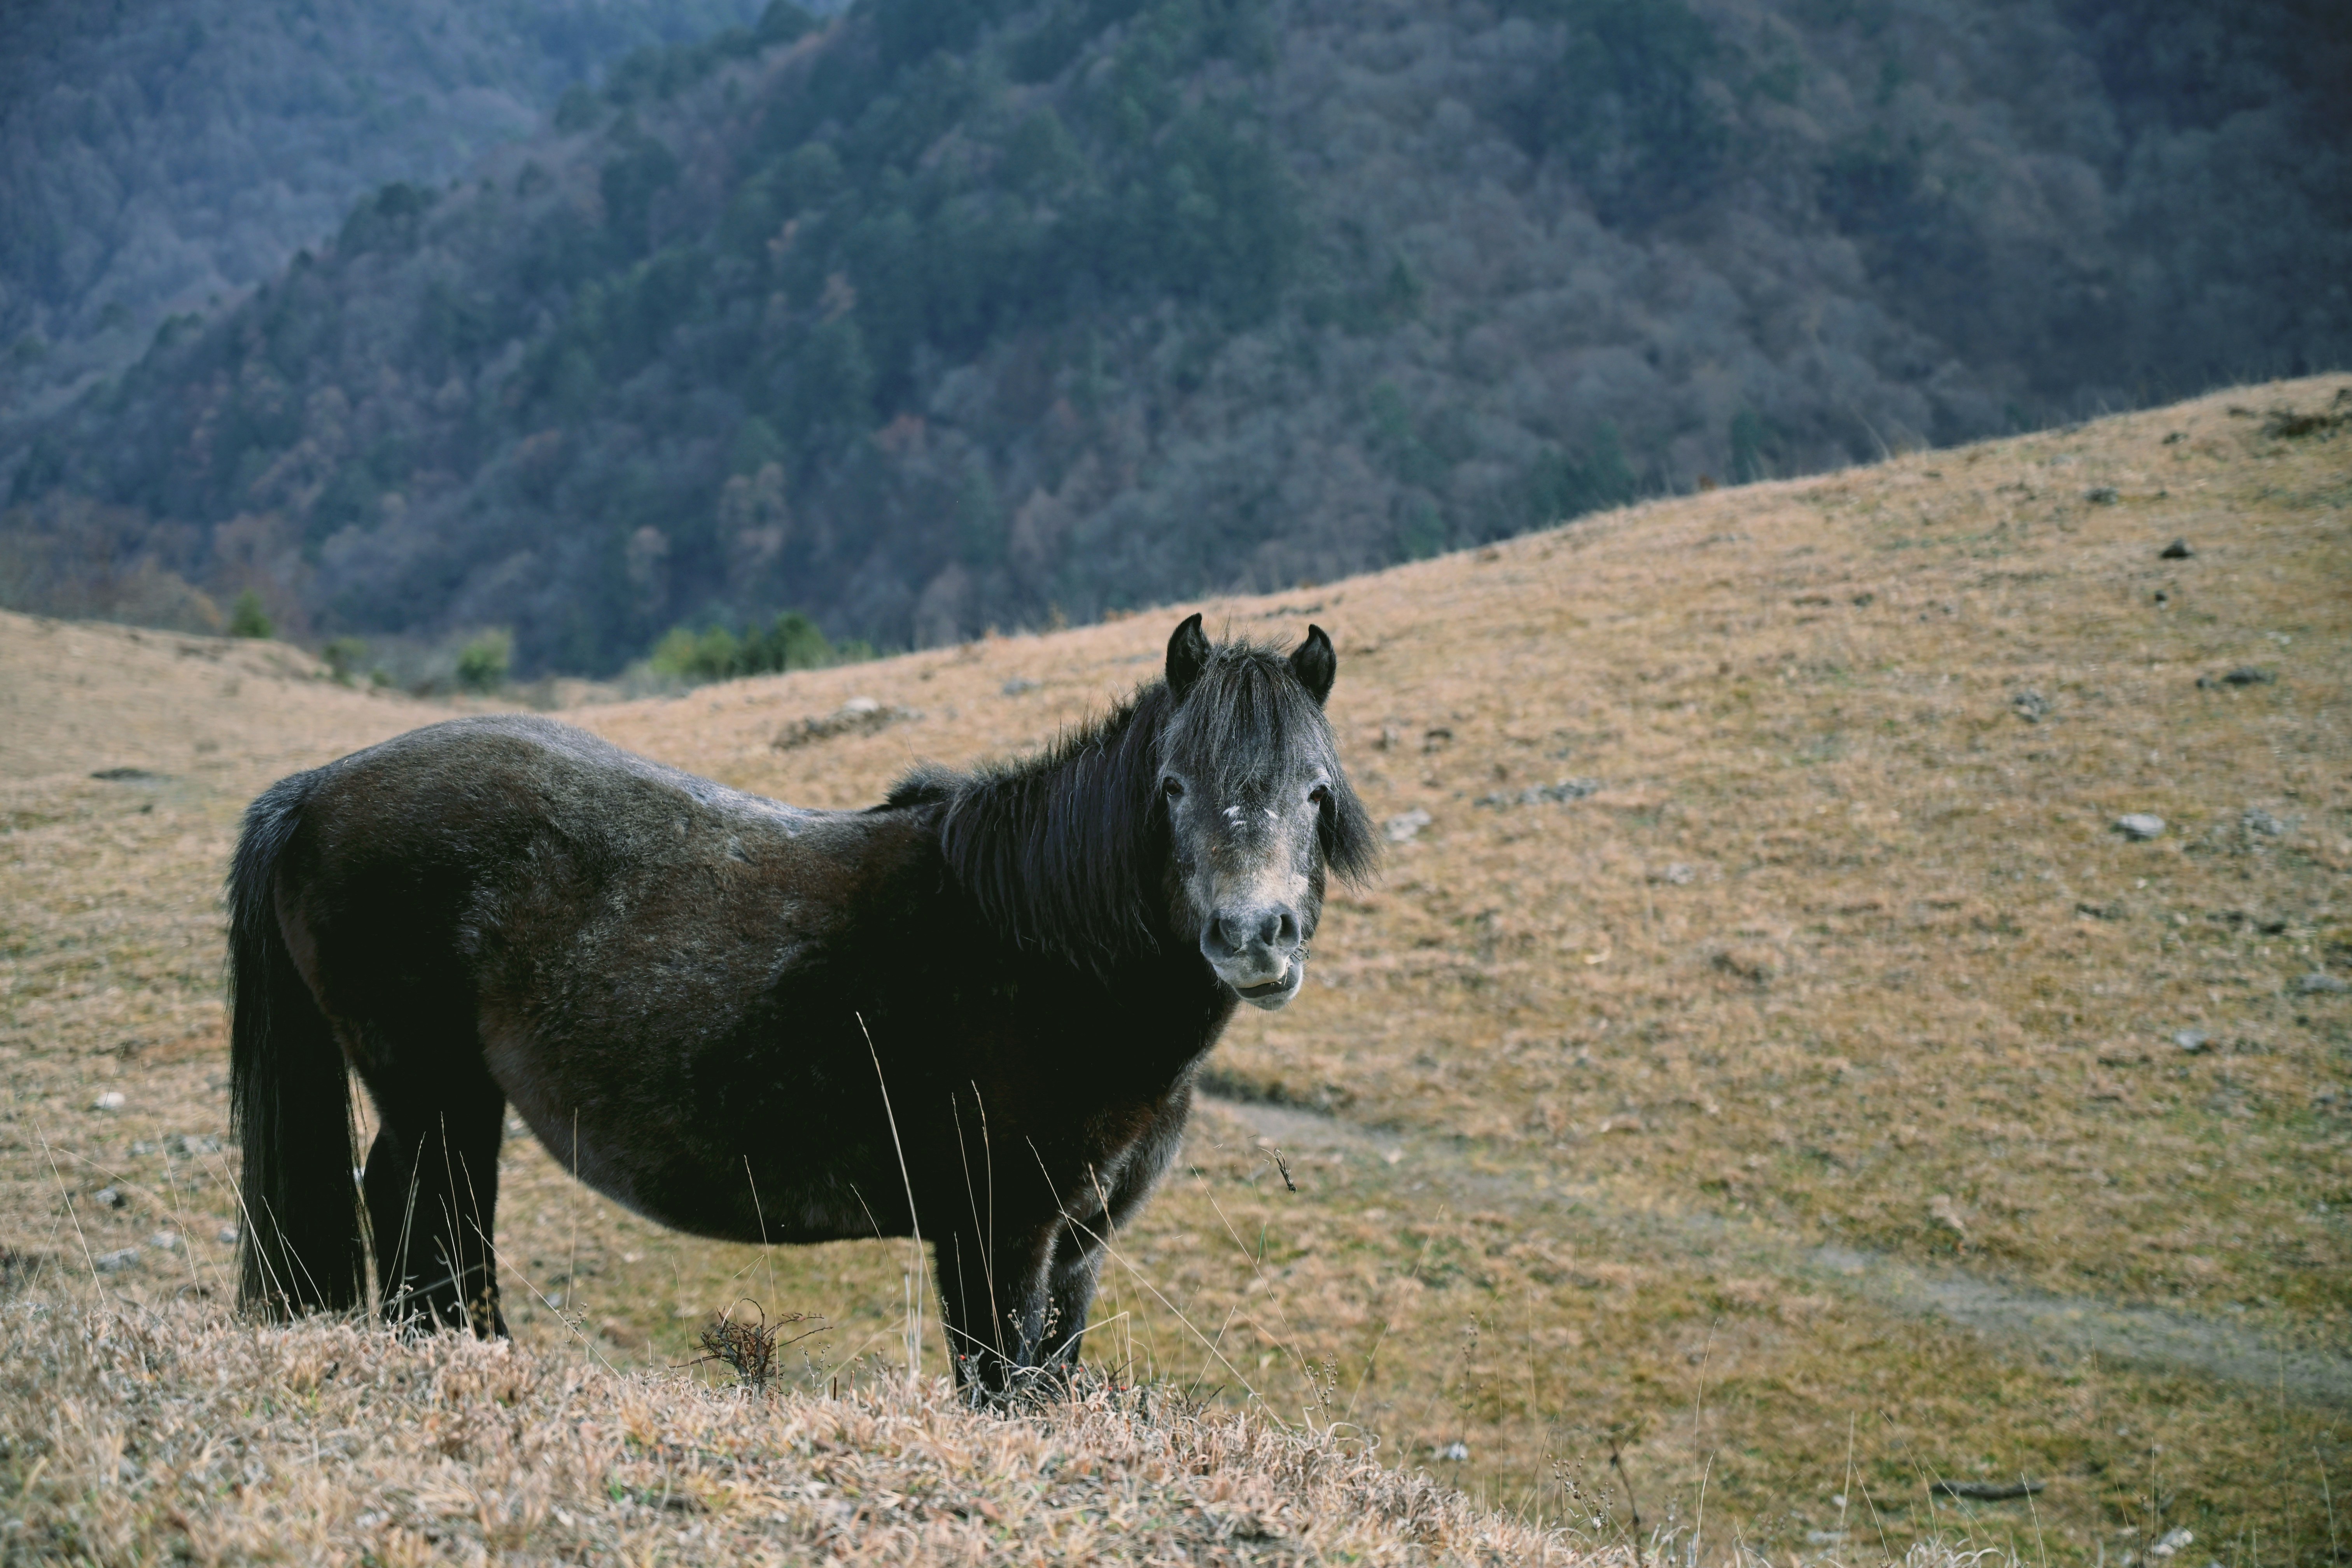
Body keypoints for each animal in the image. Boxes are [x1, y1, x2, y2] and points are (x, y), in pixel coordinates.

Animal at [227, 614, 1375, 1393]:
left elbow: (1048, 1381)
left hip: (460, 1097)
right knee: (413, 1204)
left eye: (1316, 793)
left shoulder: (1080, 1246)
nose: (1254, 938)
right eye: (1174, 789)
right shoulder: (997, 1233)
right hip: (426, 1085)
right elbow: (997, 1387)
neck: (1033, 945)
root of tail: (318, 787)